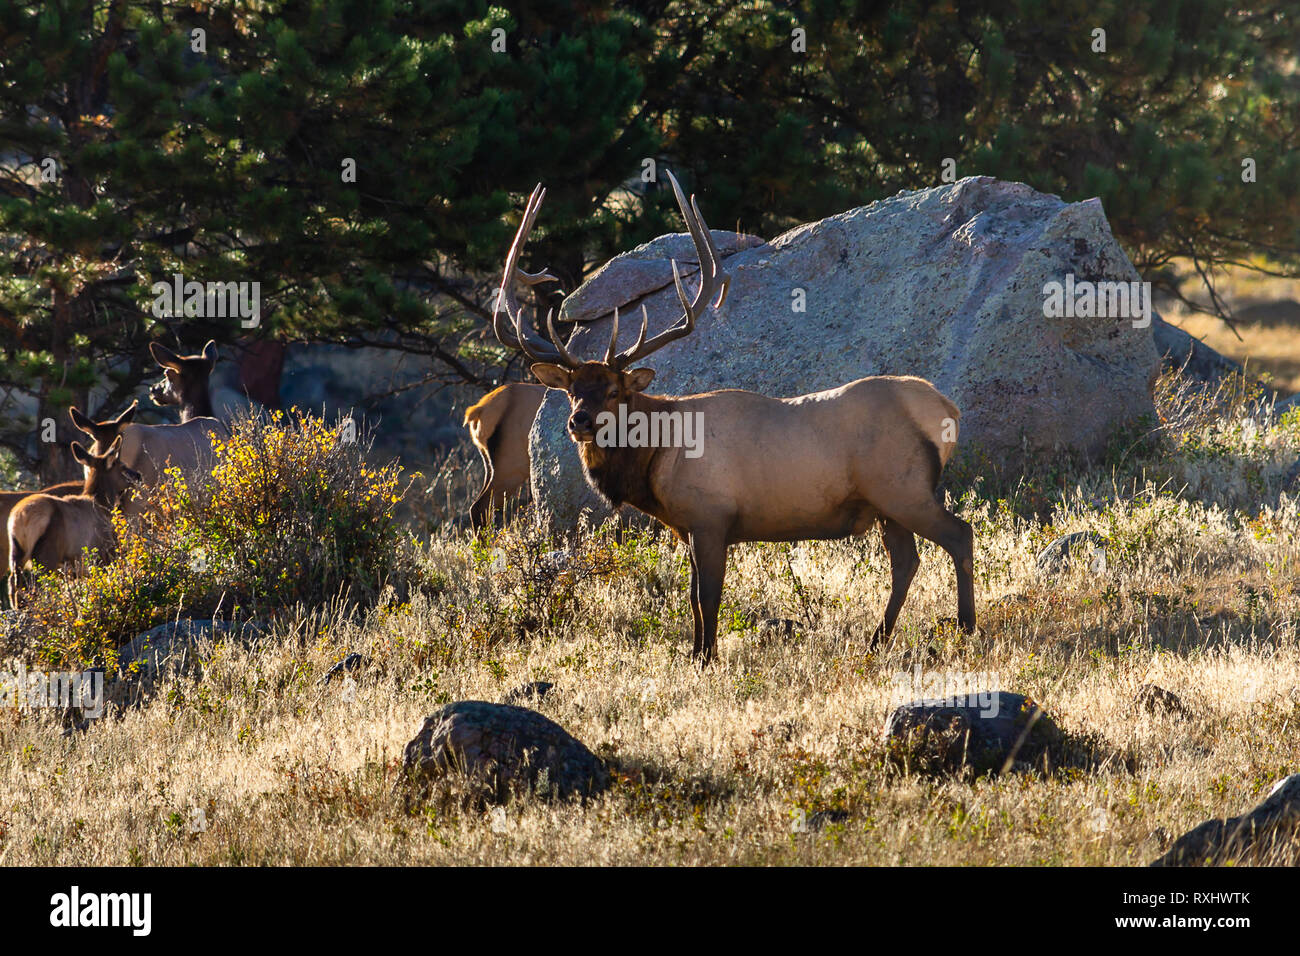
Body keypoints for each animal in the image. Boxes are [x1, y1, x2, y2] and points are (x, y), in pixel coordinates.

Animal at [7, 436, 141, 607]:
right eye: (122, 466)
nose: (138, 475)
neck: (103, 506)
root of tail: (22, 518)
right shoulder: (102, 554)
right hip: (46, 553)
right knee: (38, 584)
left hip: (16, 551)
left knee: (13, 582)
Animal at [492, 172, 976, 663]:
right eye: (572, 391)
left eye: (613, 391)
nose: (579, 422)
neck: (656, 459)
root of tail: (947, 410)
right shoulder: (689, 526)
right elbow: (692, 597)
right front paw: (694, 654)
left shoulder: (711, 516)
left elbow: (708, 596)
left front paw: (707, 657)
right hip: (886, 503)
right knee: (907, 560)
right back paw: (878, 639)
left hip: (903, 486)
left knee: (959, 534)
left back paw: (964, 628)